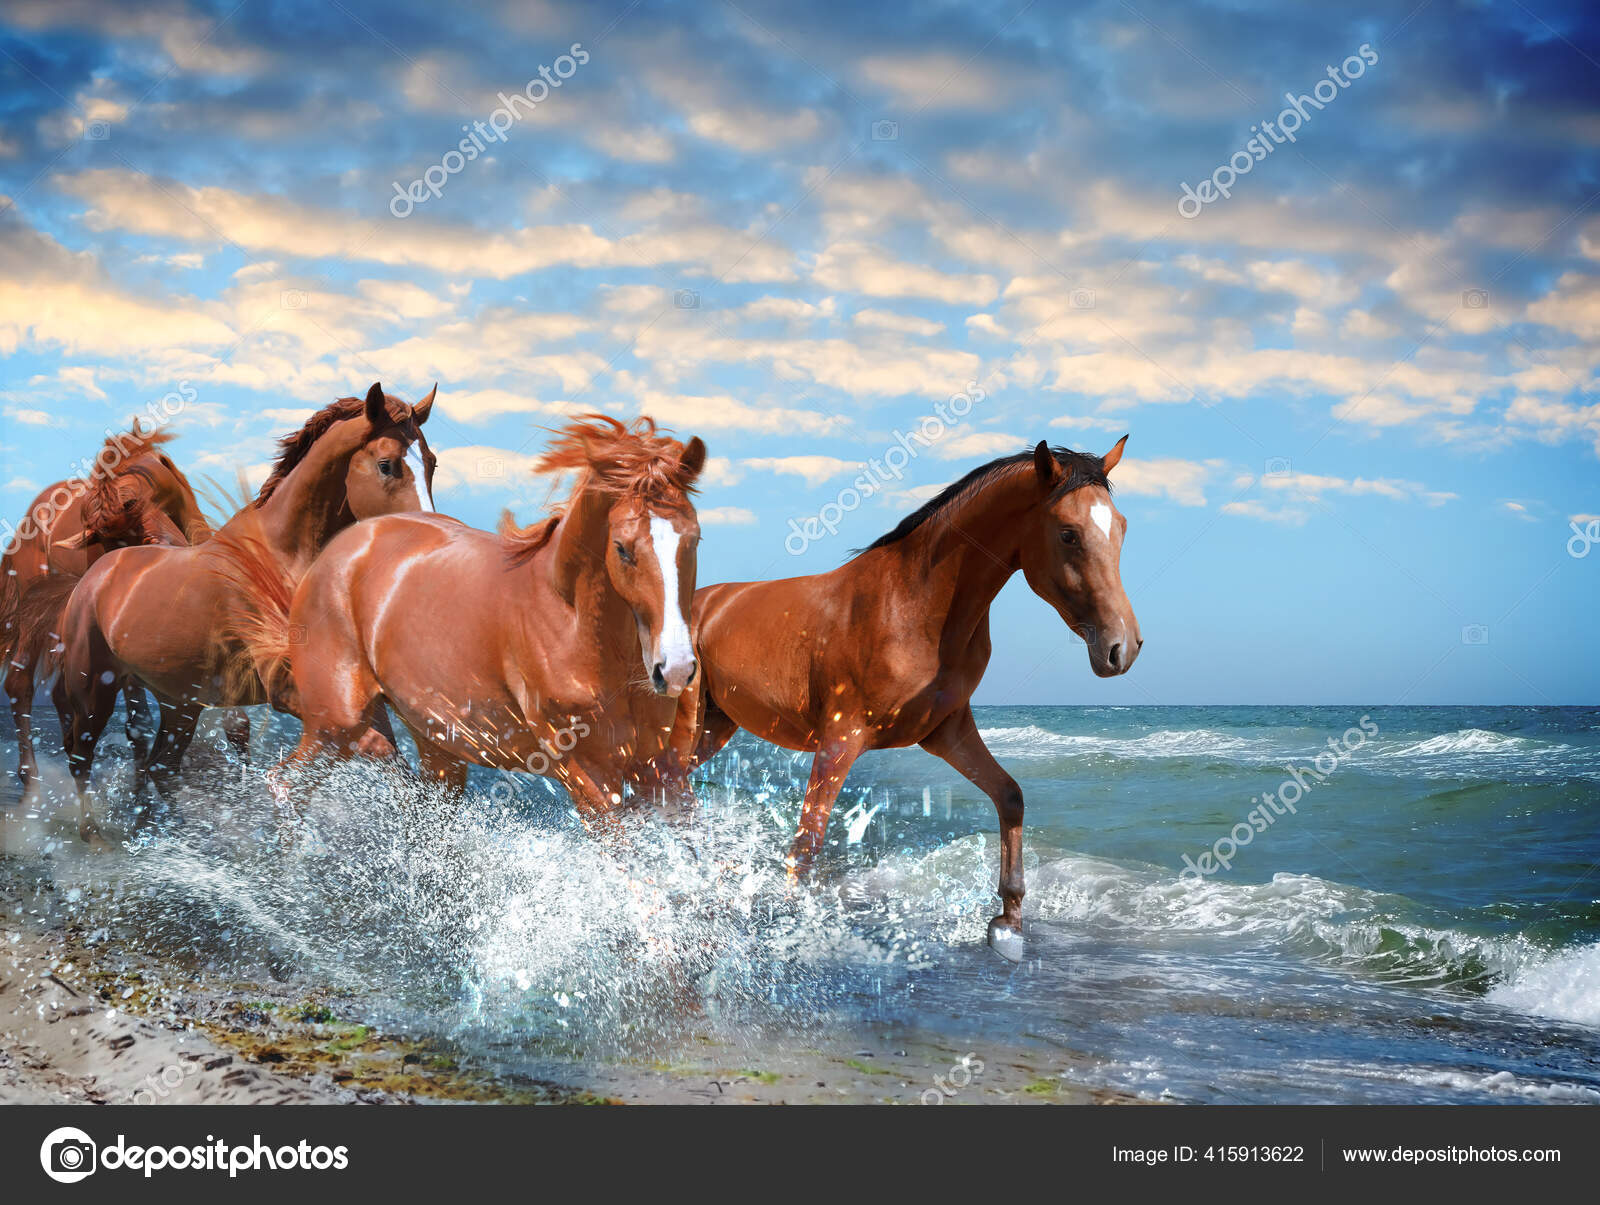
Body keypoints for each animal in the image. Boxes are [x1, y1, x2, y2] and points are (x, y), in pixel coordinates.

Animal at [1, 421, 212, 808]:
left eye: (133, 503)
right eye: (107, 538)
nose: (164, 551)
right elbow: (140, 722)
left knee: (60, 694)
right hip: (37, 620)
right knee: (20, 684)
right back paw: (32, 785)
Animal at [46, 383, 437, 844]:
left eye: (431, 462)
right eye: (386, 464)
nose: (426, 540)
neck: (281, 560)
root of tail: (98, 576)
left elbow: (398, 766)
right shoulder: (286, 688)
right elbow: (369, 745)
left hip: (180, 702)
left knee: (162, 765)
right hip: (93, 687)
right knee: (81, 755)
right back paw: (96, 837)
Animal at [271, 414, 705, 828]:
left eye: (695, 539)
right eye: (622, 548)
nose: (676, 669)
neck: (574, 627)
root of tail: (341, 547)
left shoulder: (660, 769)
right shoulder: (588, 775)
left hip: (437, 745)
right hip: (335, 723)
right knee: (285, 781)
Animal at [671, 438, 1141, 959]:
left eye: (1121, 528)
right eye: (1068, 534)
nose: (1121, 649)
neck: (913, 605)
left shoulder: (948, 732)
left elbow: (1010, 796)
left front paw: (1008, 927)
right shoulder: (840, 739)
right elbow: (805, 848)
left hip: (716, 726)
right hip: (686, 721)